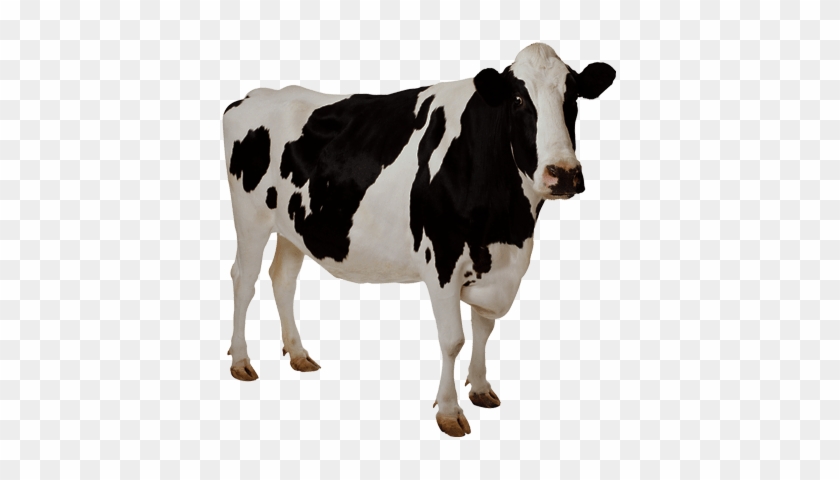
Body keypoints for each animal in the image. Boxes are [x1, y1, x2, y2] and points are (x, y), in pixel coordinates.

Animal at [222, 43, 615, 437]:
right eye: (518, 99)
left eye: (573, 97)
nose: (563, 173)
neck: (509, 225)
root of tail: (253, 96)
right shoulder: (442, 259)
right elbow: (453, 339)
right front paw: (449, 411)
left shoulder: (496, 264)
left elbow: (484, 327)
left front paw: (481, 388)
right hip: (250, 219)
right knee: (244, 280)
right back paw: (241, 360)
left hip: (294, 226)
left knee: (283, 279)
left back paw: (299, 354)